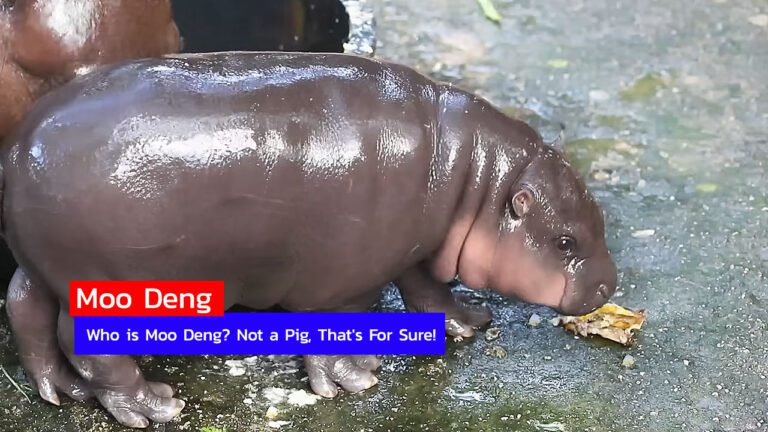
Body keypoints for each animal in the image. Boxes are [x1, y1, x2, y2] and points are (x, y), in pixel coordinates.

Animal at [1, 51, 617, 428]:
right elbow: (337, 323)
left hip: (42, 263)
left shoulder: (417, 243)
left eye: (596, 218)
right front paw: (357, 378)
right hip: (101, 283)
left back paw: (60, 391)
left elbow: (427, 288)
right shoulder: (347, 276)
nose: (609, 285)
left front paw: (468, 321)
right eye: (565, 242)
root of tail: (19, 147)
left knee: (25, 307)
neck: (472, 176)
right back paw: (154, 406)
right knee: (86, 342)